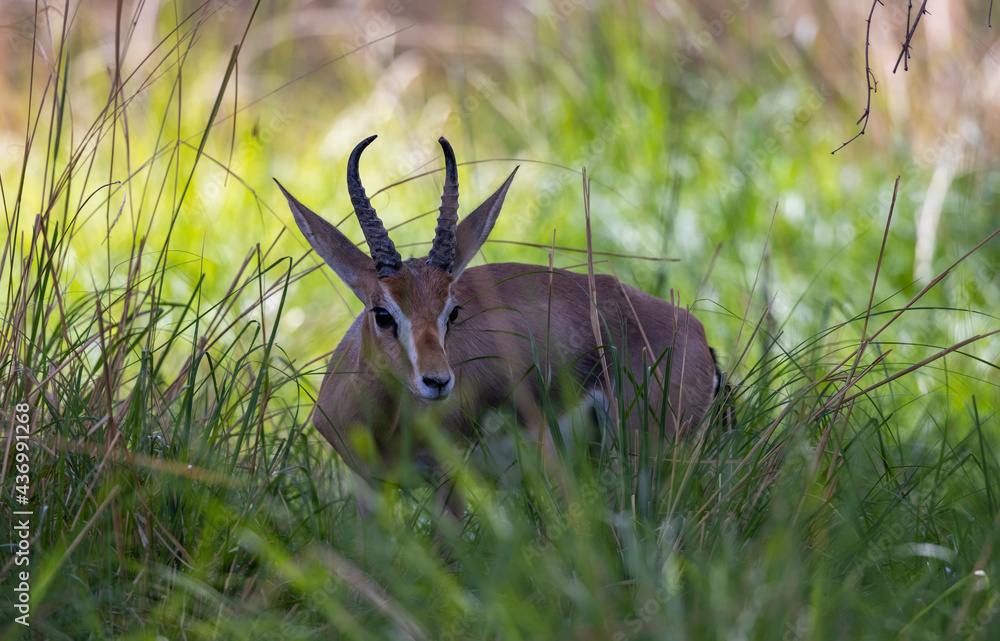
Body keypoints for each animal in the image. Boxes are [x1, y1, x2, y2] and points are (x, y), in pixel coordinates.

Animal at [276, 135, 725, 510]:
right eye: (382, 313)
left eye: (453, 311)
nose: (438, 381)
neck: (387, 425)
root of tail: (697, 333)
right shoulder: (367, 487)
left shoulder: (448, 483)